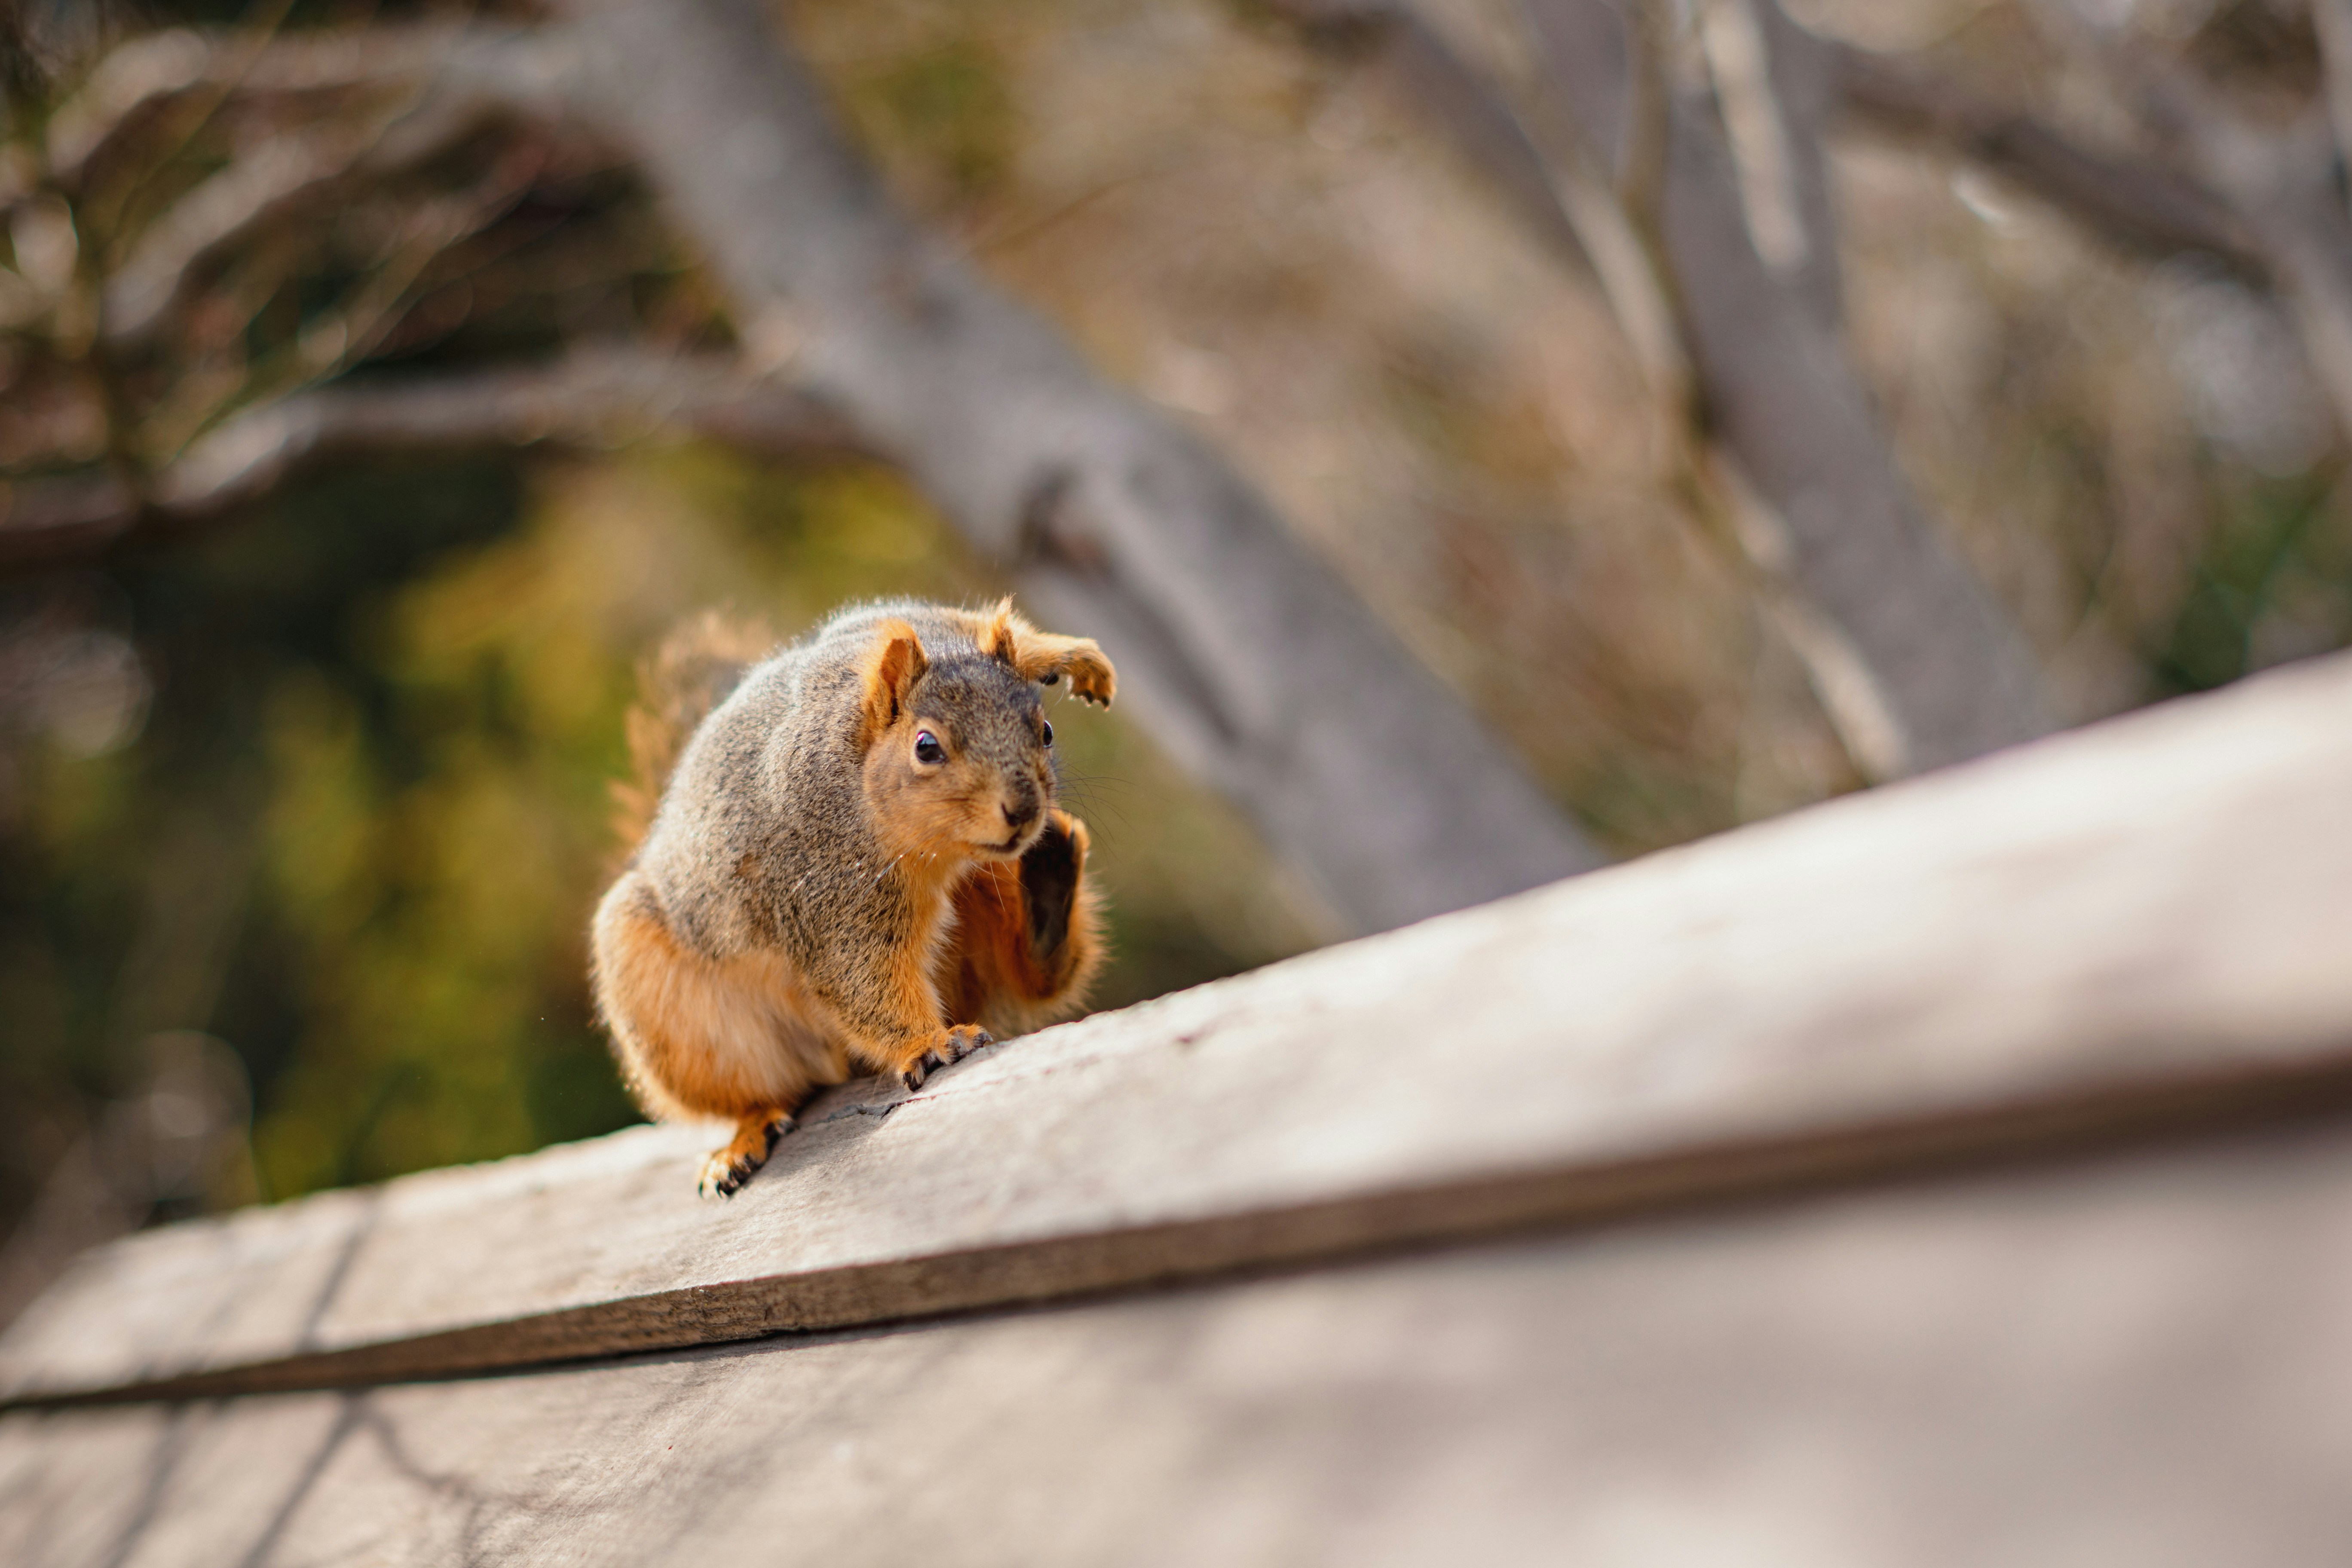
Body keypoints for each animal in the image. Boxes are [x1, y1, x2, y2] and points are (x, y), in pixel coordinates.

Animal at [590, 598, 1115, 1198]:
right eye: (926, 747)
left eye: (1045, 730)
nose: (1025, 811)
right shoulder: (830, 895)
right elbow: (864, 980)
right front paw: (931, 1043)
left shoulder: (908, 625)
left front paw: (1074, 657)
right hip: (674, 1012)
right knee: (758, 1091)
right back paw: (744, 1139)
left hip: (987, 895)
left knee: (1032, 977)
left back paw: (1050, 883)